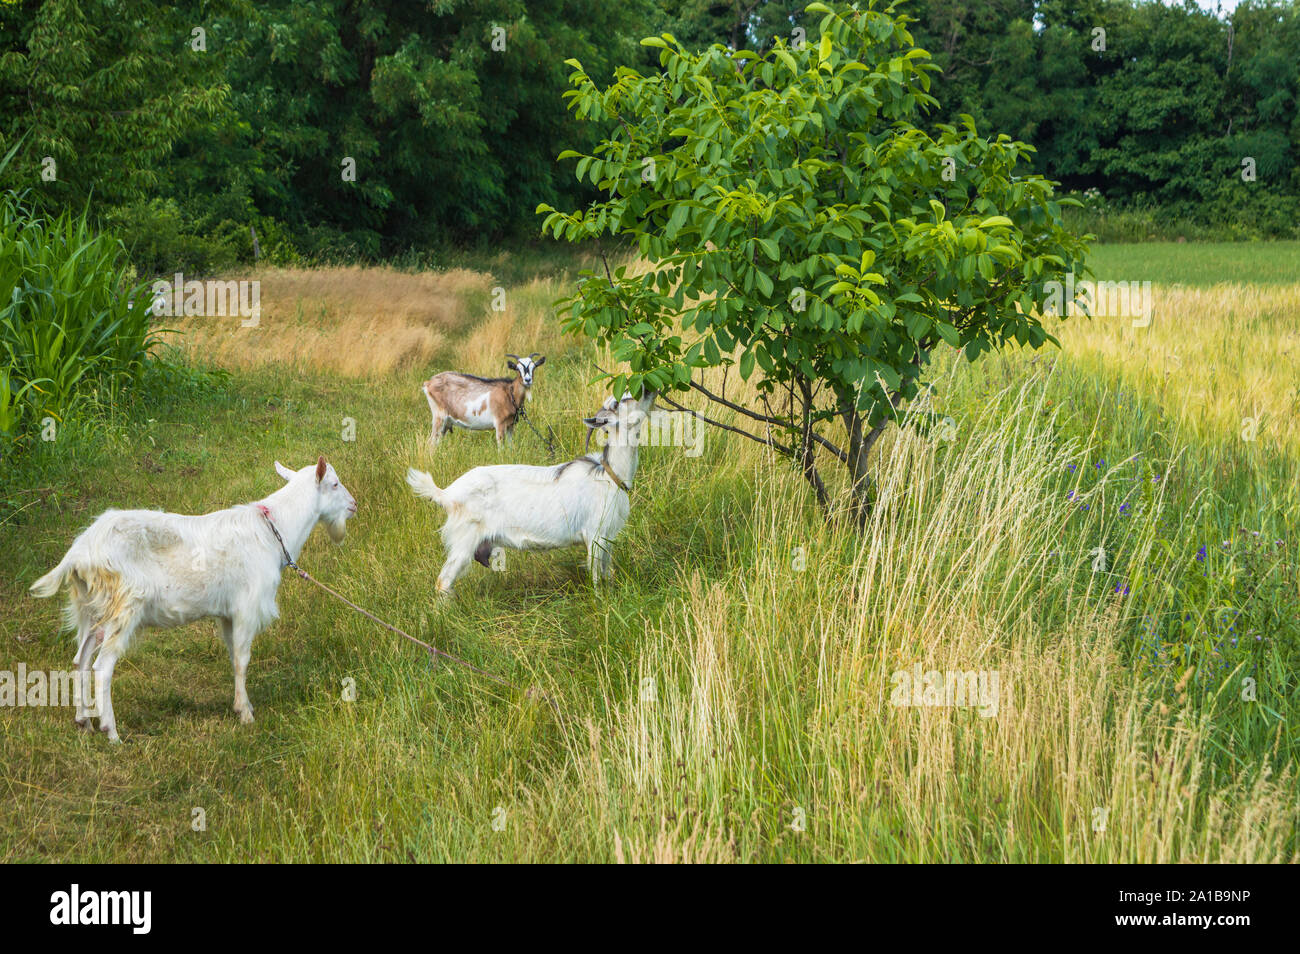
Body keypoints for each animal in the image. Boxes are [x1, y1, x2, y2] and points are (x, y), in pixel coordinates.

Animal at [28, 457, 357, 741]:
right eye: (335, 484)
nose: (354, 505)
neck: (275, 531)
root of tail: (80, 552)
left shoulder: (227, 613)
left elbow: (233, 655)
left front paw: (243, 705)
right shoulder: (247, 607)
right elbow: (243, 658)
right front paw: (246, 715)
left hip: (90, 608)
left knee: (81, 659)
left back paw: (83, 721)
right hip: (124, 606)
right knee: (102, 667)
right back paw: (111, 732)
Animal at [406, 390, 655, 595]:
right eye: (618, 401)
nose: (649, 389)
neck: (611, 475)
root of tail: (447, 494)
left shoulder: (608, 538)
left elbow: (607, 572)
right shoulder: (594, 534)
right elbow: (595, 578)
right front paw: (601, 603)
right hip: (464, 539)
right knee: (443, 581)